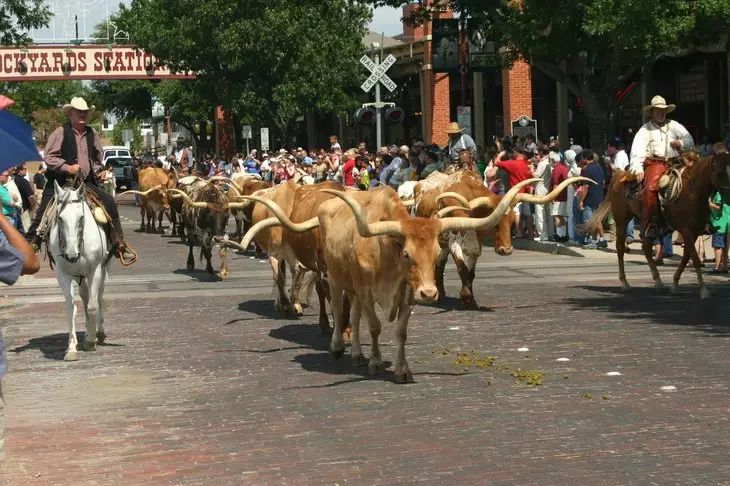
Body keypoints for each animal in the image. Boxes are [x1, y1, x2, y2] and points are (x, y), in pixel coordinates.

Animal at [48, 180, 109, 358]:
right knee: (85, 296)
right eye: (60, 218)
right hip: (79, 276)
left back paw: (98, 332)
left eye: (81, 217)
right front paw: (72, 347)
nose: (71, 255)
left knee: (99, 298)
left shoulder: (95, 271)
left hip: (102, 270)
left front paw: (90, 341)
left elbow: (93, 306)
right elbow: (71, 308)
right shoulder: (63, 275)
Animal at [580, 146, 728, 298]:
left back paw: (657, 280)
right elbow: (695, 259)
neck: (692, 192)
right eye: (720, 171)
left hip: (649, 223)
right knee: (620, 248)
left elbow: (688, 256)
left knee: (645, 247)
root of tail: (620, 175)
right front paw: (703, 290)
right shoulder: (686, 230)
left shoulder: (695, 231)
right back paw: (625, 283)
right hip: (622, 220)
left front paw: (675, 283)